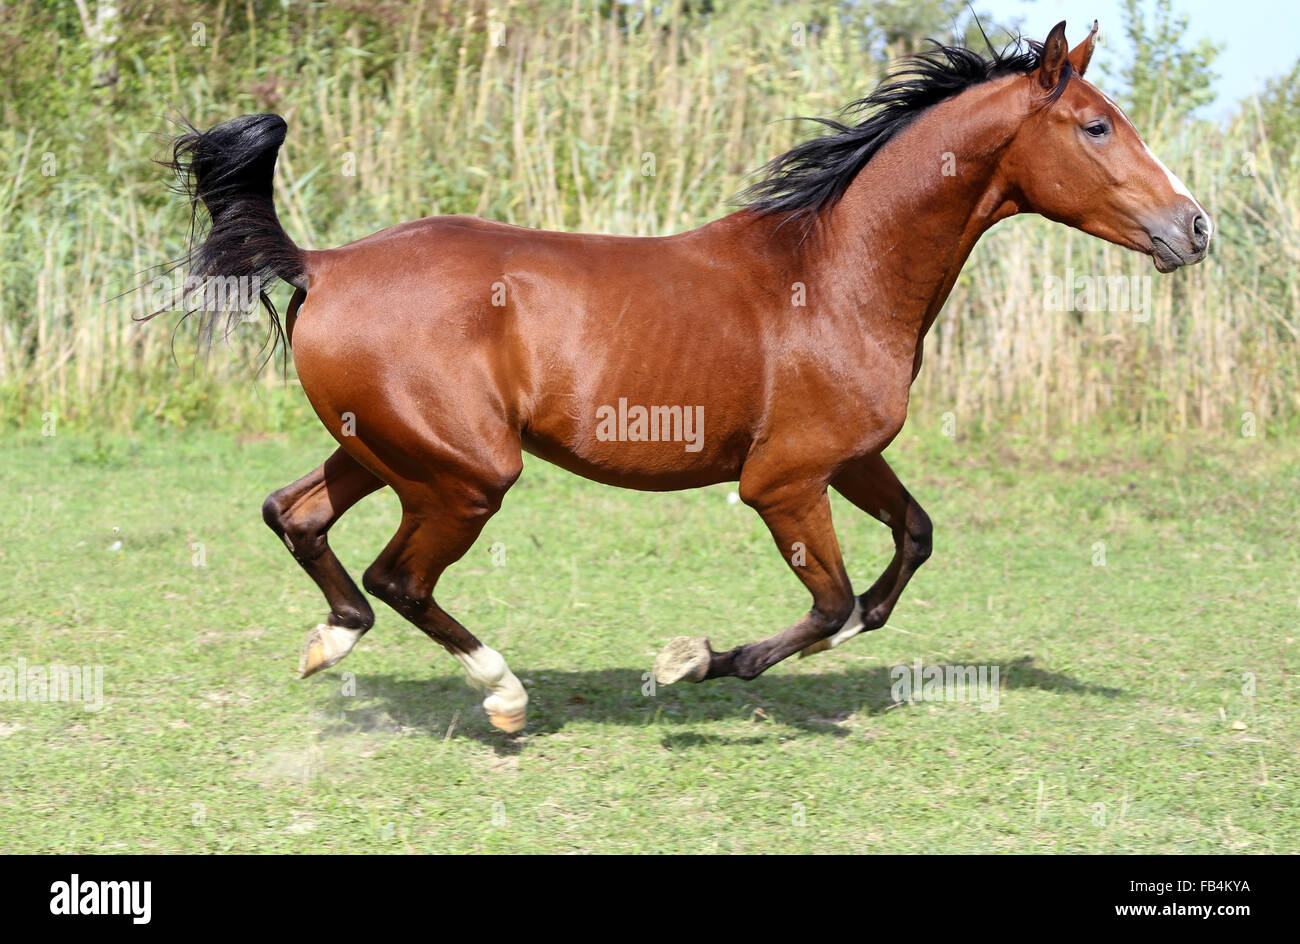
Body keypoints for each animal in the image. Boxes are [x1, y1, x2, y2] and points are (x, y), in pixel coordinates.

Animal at [160, 21, 1211, 733]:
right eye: (1096, 126)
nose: (1194, 227)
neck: (835, 275)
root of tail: (323, 263)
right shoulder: (783, 482)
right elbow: (831, 602)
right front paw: (692, 662)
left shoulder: (850, 460)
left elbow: (907, 548)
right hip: (466, 474)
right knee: (397, 575)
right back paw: (505, 698)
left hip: (385, 449)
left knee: (296, 516)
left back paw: (328, 642)